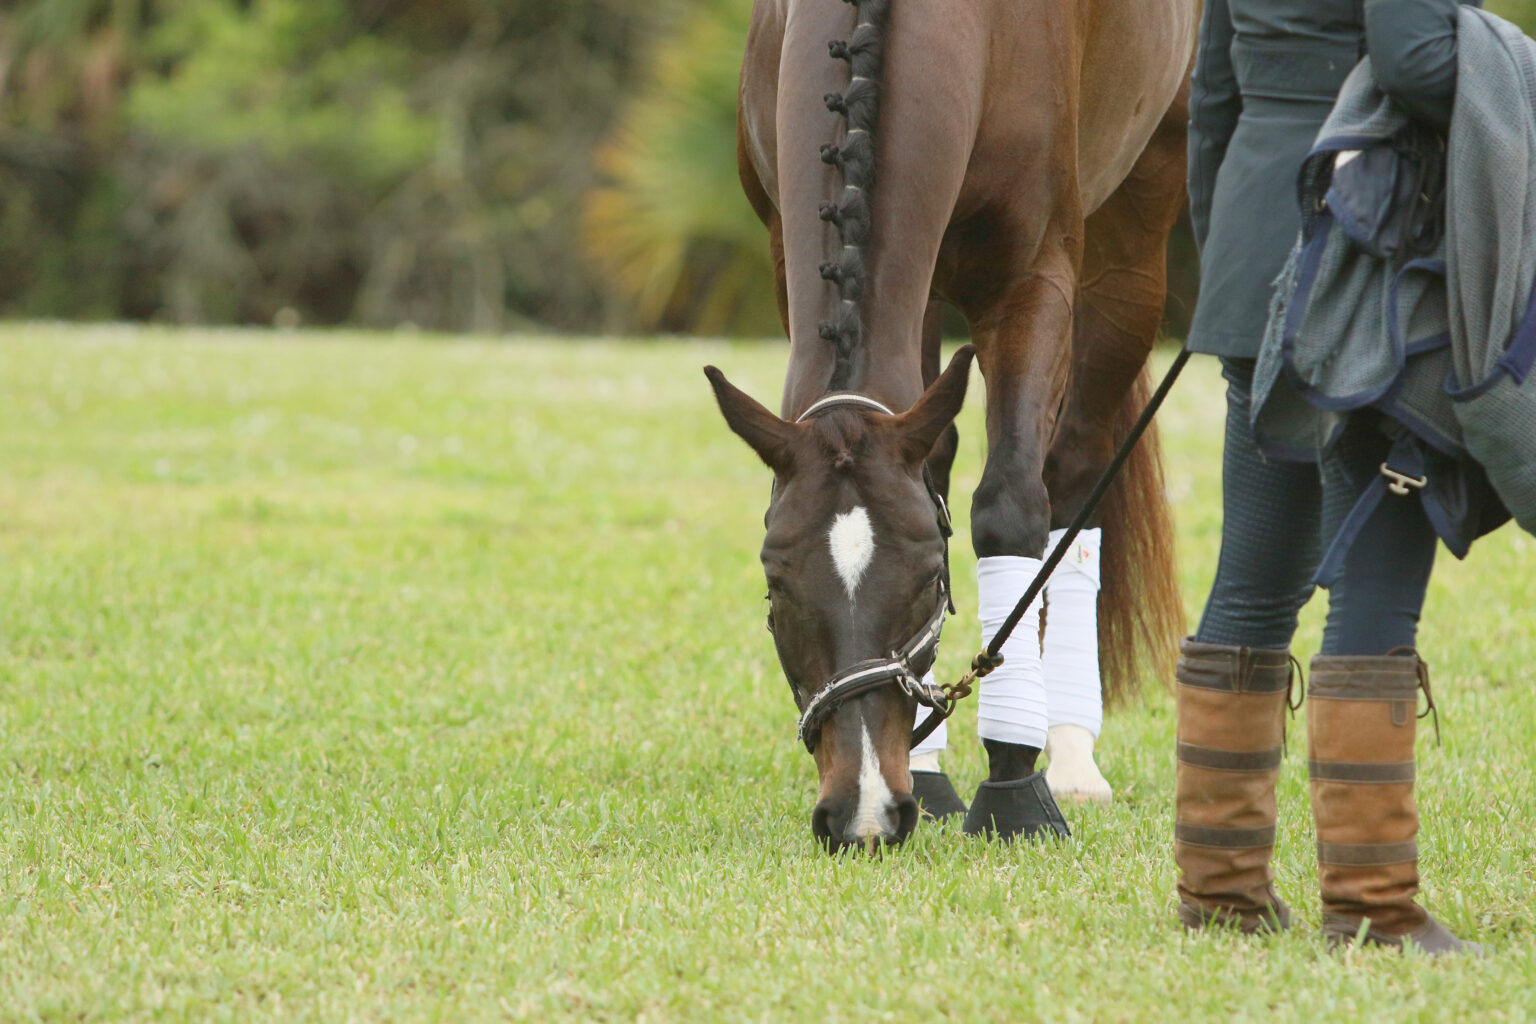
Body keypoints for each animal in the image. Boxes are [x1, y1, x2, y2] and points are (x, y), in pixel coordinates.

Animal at [706, 0, 1193, 851]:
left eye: (932, 581)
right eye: (775, 583)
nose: (862, 814)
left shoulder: (1033, 279)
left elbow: (1010, 510)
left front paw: (1015, 785)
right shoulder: (806, 261)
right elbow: (932, 469)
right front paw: (928, 774)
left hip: (1138, 226)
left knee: (1074, 474)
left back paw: (1069, 757)